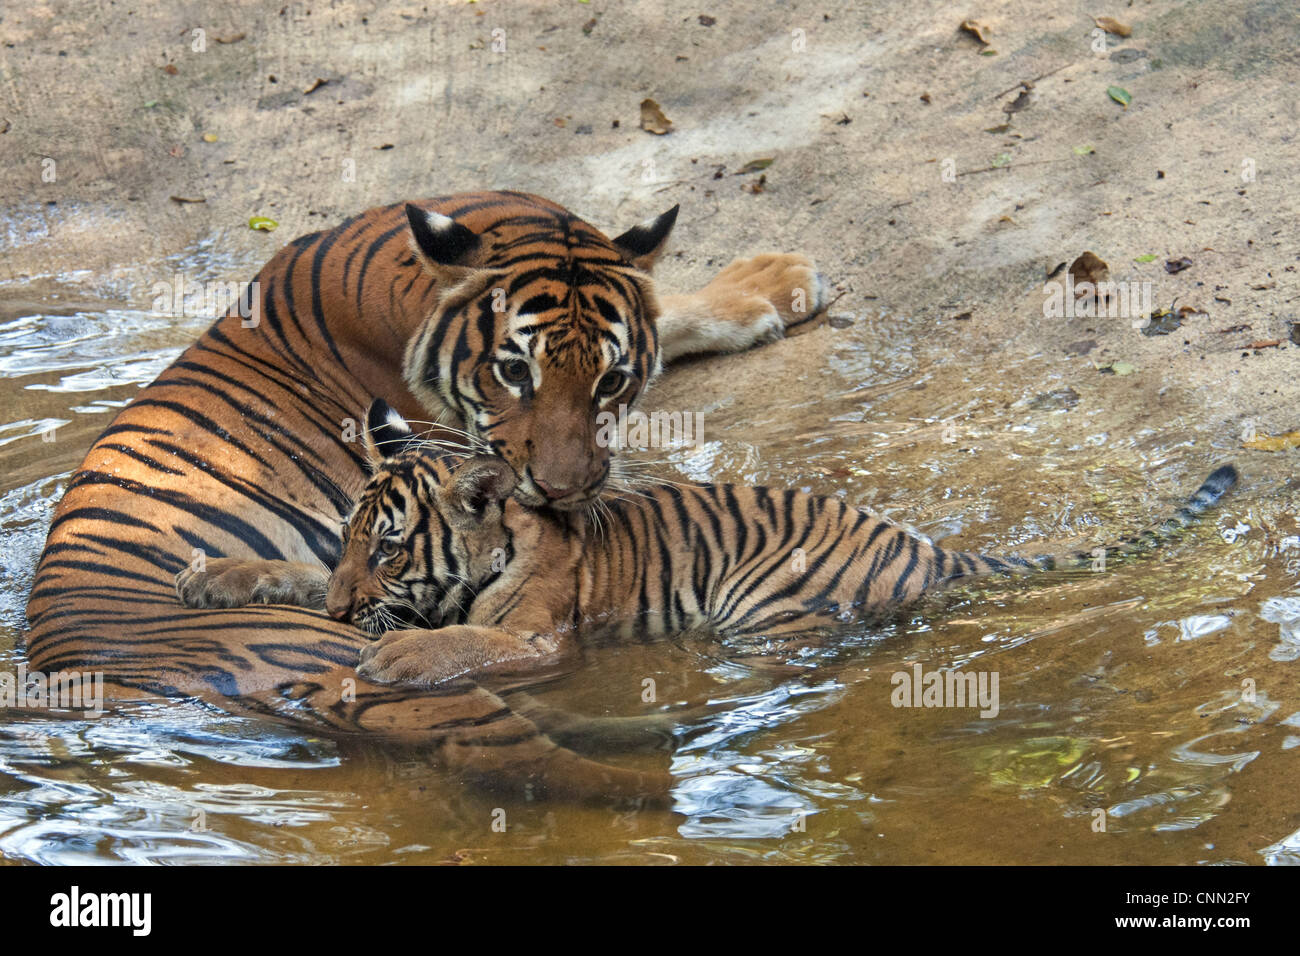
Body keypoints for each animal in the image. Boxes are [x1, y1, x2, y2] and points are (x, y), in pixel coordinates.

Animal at [24, 191, 829, 804]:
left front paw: (773, 278)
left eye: (610, 380)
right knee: (509, 740)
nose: (564, 490)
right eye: (514, 372)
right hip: (356, 659)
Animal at [176, 398, 1240, 692]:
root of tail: (929, 546)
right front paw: (215, 574)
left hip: (764, 609)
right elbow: (294, 566)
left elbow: (460, 639)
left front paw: (395, 655)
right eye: (357, 542)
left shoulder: (539, 638)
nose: (343, 611)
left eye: (395, 550)